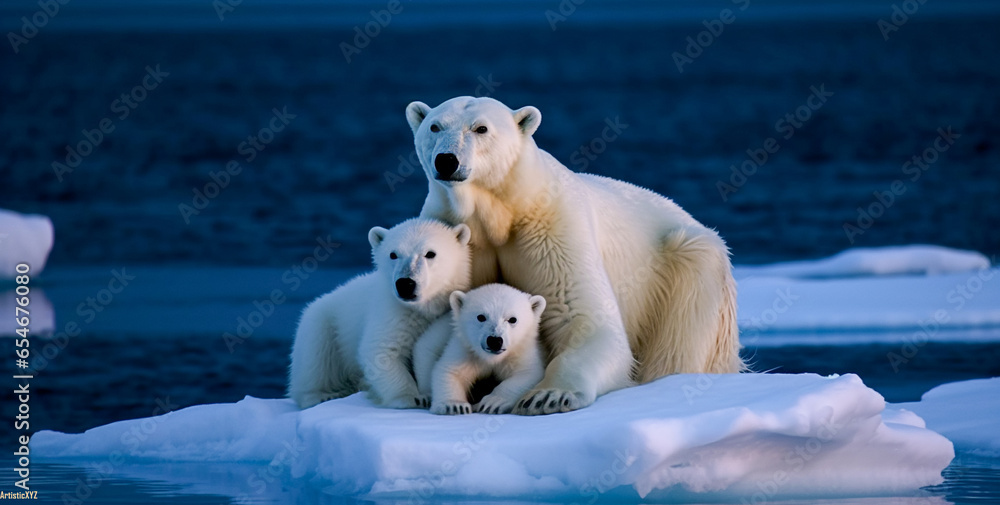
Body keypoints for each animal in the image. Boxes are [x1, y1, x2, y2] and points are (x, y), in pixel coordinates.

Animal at [287, 218, 472, 409]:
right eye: (393, 254)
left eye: (430, 253)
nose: (405, 284)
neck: (421, 309)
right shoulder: (392, 313)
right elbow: (380, 350)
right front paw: (410, 398)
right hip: (323, 321)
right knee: (316, 358)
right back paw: (323, 395)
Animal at [412, 283, 547, 415]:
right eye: (481, 317)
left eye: (512, 319)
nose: (494, 341)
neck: (491, 358)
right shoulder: (466, 350)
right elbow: (449, 370)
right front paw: (454, 405)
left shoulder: (520, 351)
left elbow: (527, 372)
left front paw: (493, 403)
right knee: (426, 350)